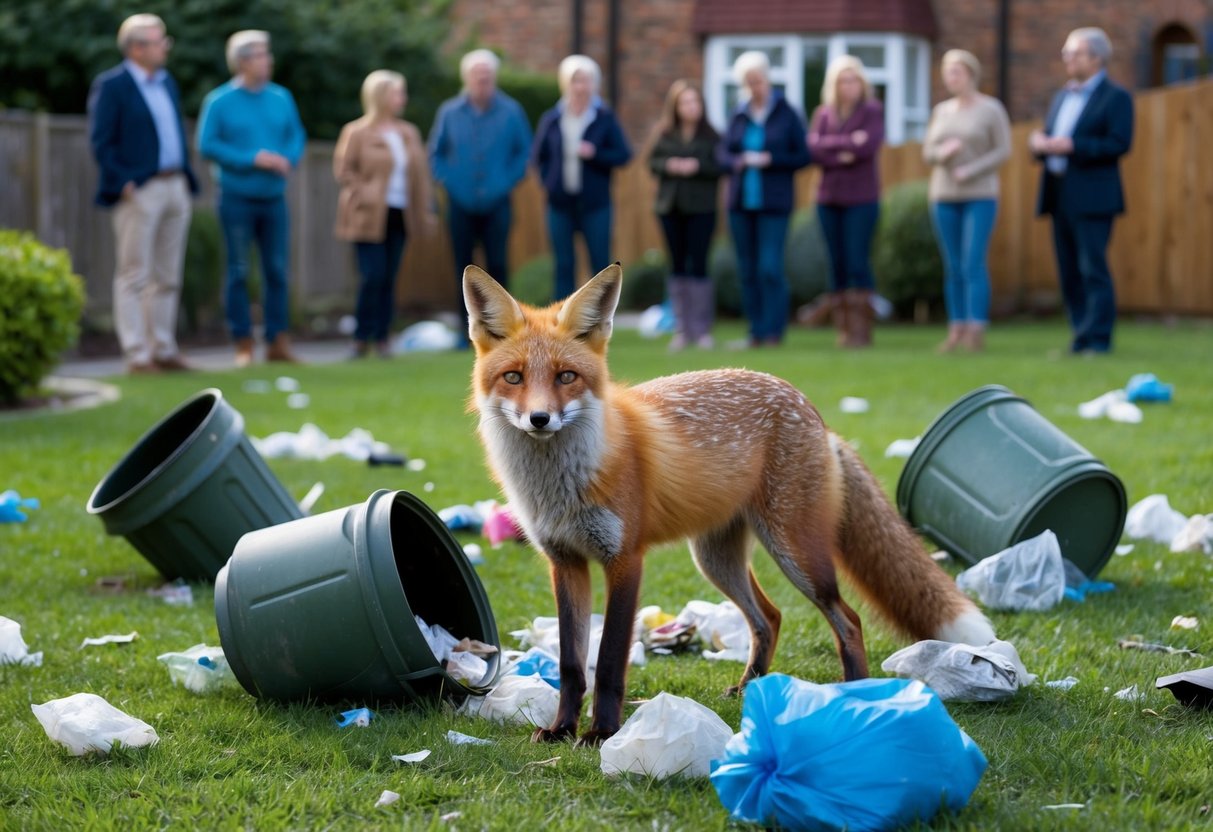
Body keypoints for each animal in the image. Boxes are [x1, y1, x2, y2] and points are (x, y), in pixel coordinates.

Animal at [463, 263, 996, 746]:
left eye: (566, 376)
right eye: (514, 377)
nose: (540, 419)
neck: (560, 484)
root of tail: (814, 413)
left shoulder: (624, 559)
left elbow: (610, 660)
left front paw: (602, 733)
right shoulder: (566, 562)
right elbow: (573, 664)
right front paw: (560, 729)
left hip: (797, 554)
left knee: (848, 618)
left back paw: (855, 694)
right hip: (716, 559)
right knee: (770, 618)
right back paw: (750, 689)